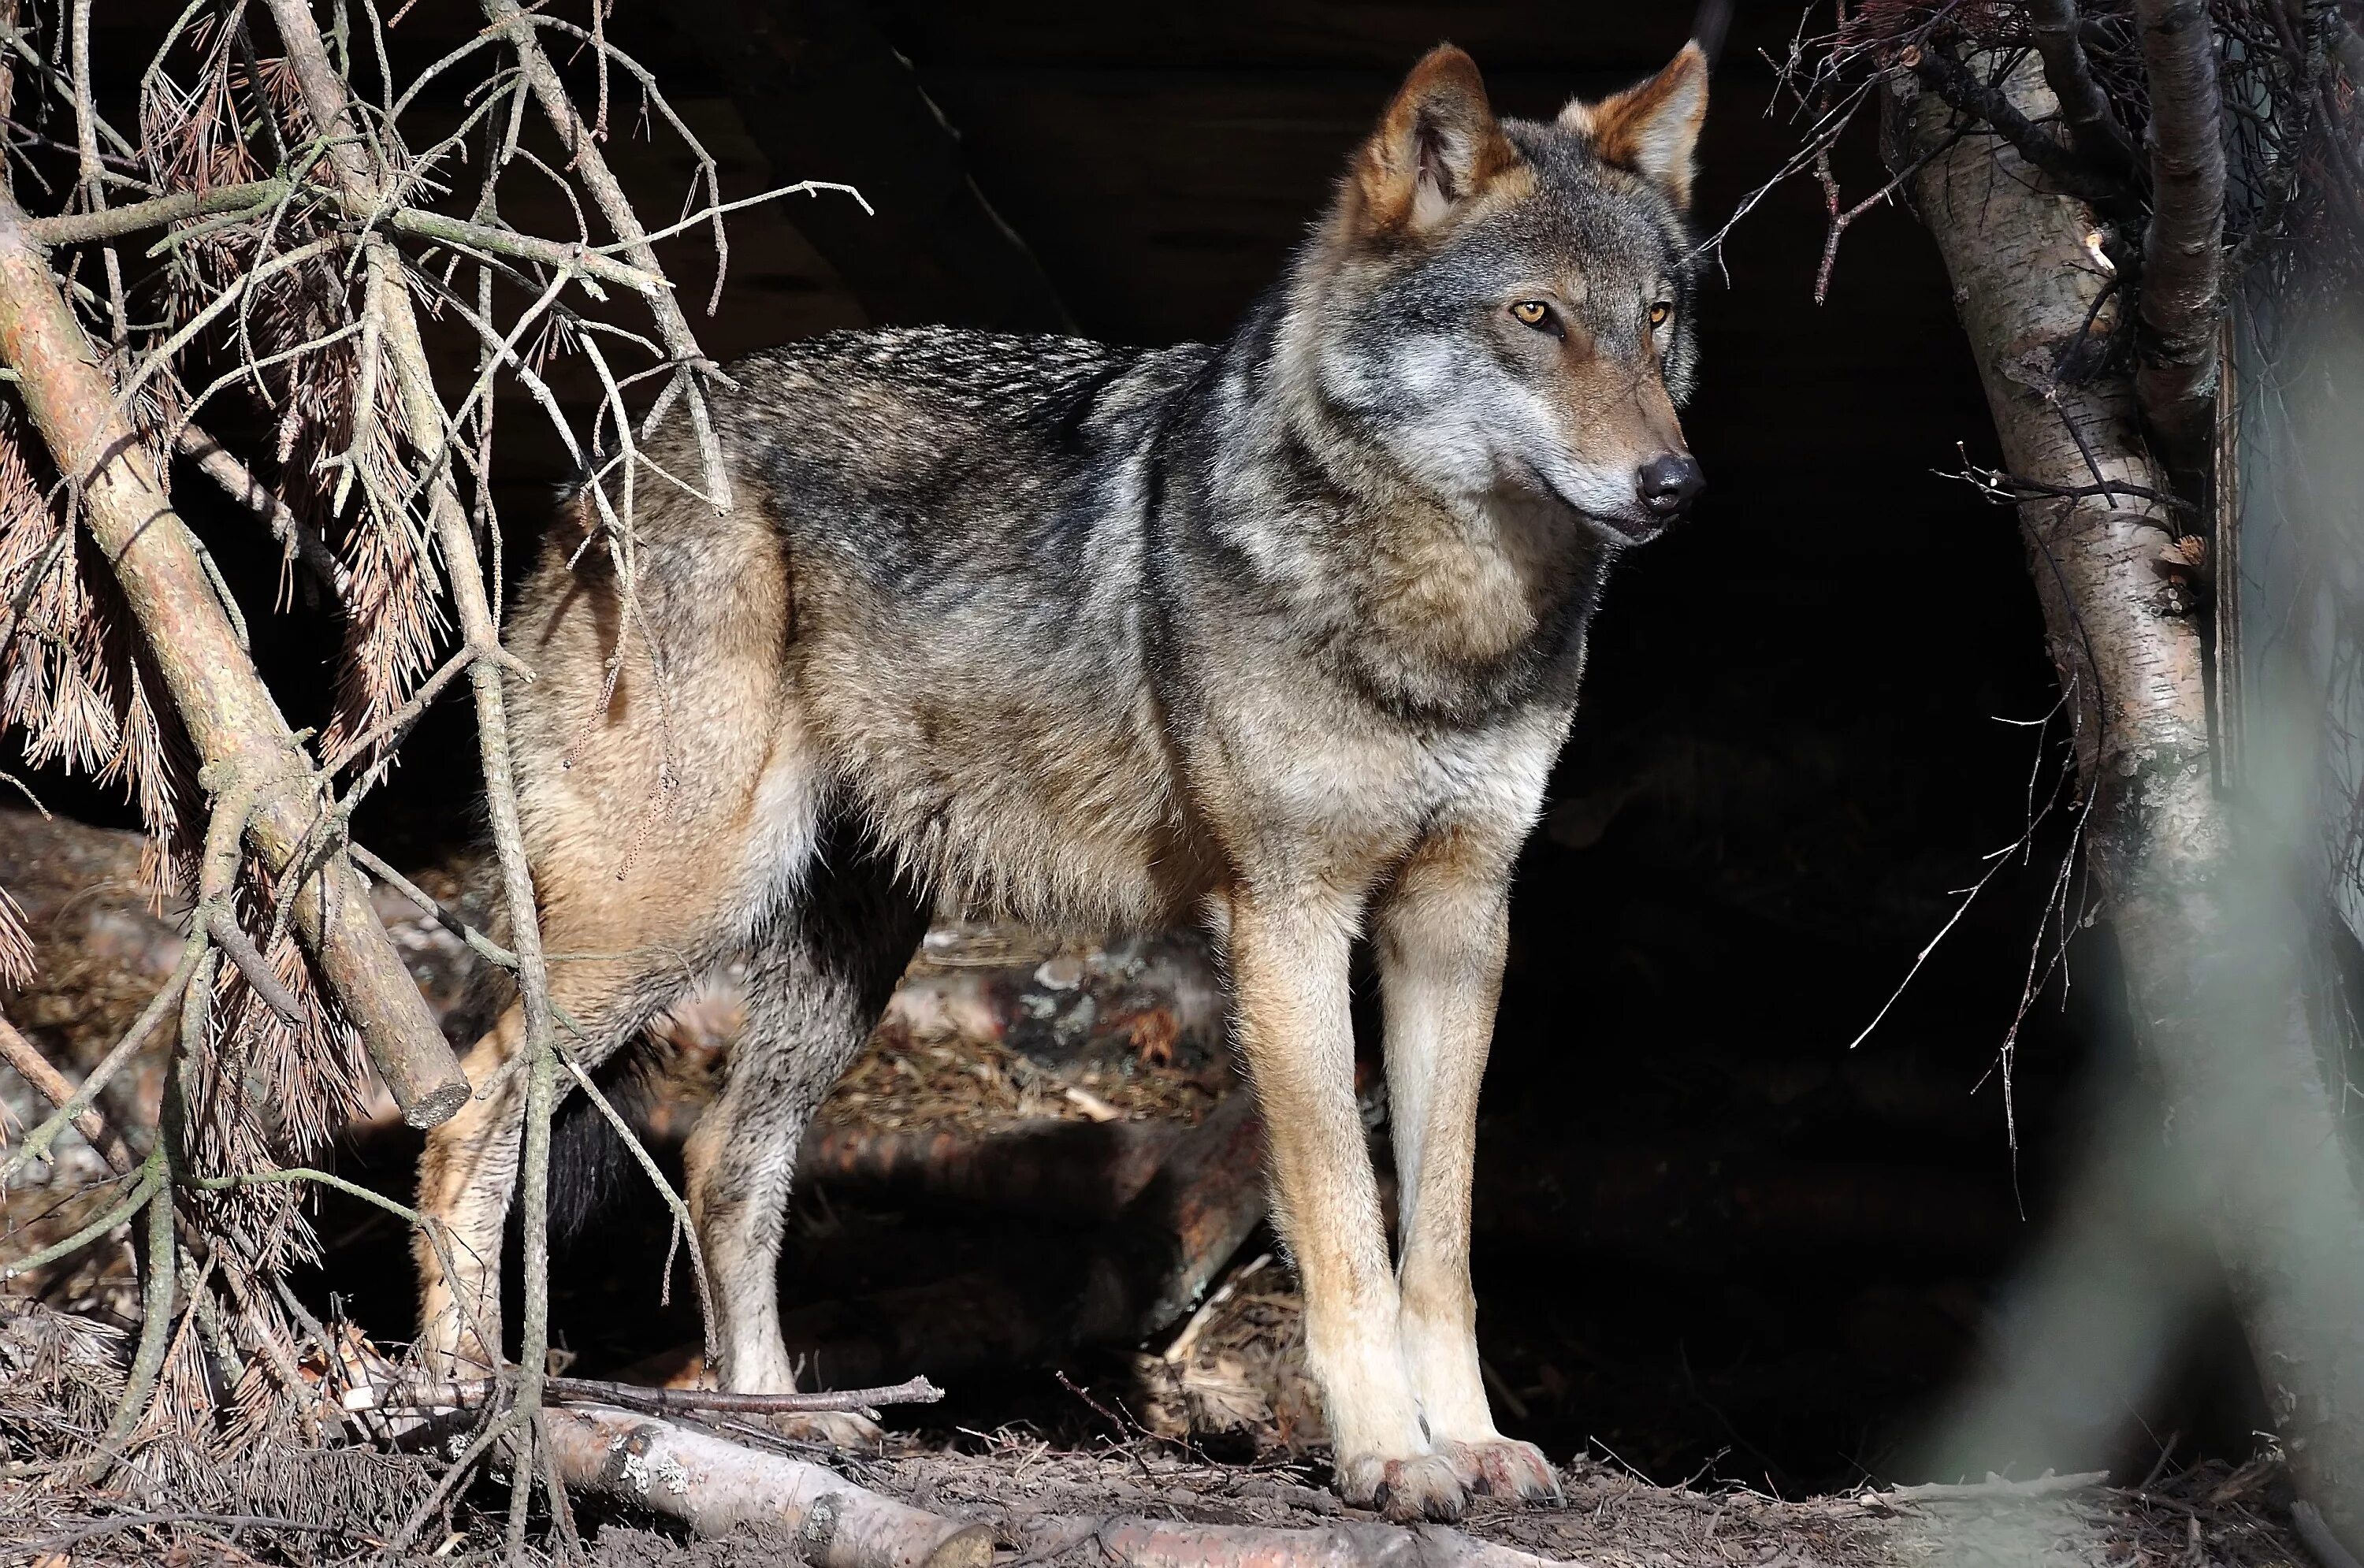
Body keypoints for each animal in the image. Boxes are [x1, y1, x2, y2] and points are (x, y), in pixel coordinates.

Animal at [416, 46, 1712, 1522]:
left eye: (1656, 320)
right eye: (1536, 318)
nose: (1674, 483)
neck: (1442, 630)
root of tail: (610, 456)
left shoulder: (1460, 920)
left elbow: (1439, 1236)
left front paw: (1476, 1441)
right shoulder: (1287, 921)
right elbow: (1343, 1226)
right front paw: (1389, 1451)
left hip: (841, 956)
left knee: (721, 1163)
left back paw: (781, 1422)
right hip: (667, 916)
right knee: (468, 1115)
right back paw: (454, 1397)